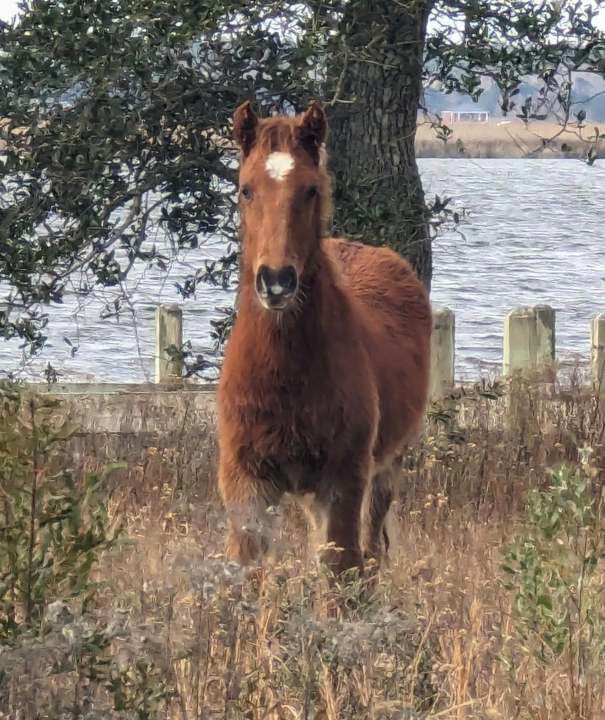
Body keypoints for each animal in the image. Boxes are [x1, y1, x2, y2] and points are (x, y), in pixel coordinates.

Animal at [217, 100, 432, 575]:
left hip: (385, 469)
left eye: (310, 190)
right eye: (245, 190)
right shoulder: (246, 483)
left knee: (370, 552)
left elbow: (340, 572)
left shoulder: (343, 481)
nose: (277, 281)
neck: (285, 373)